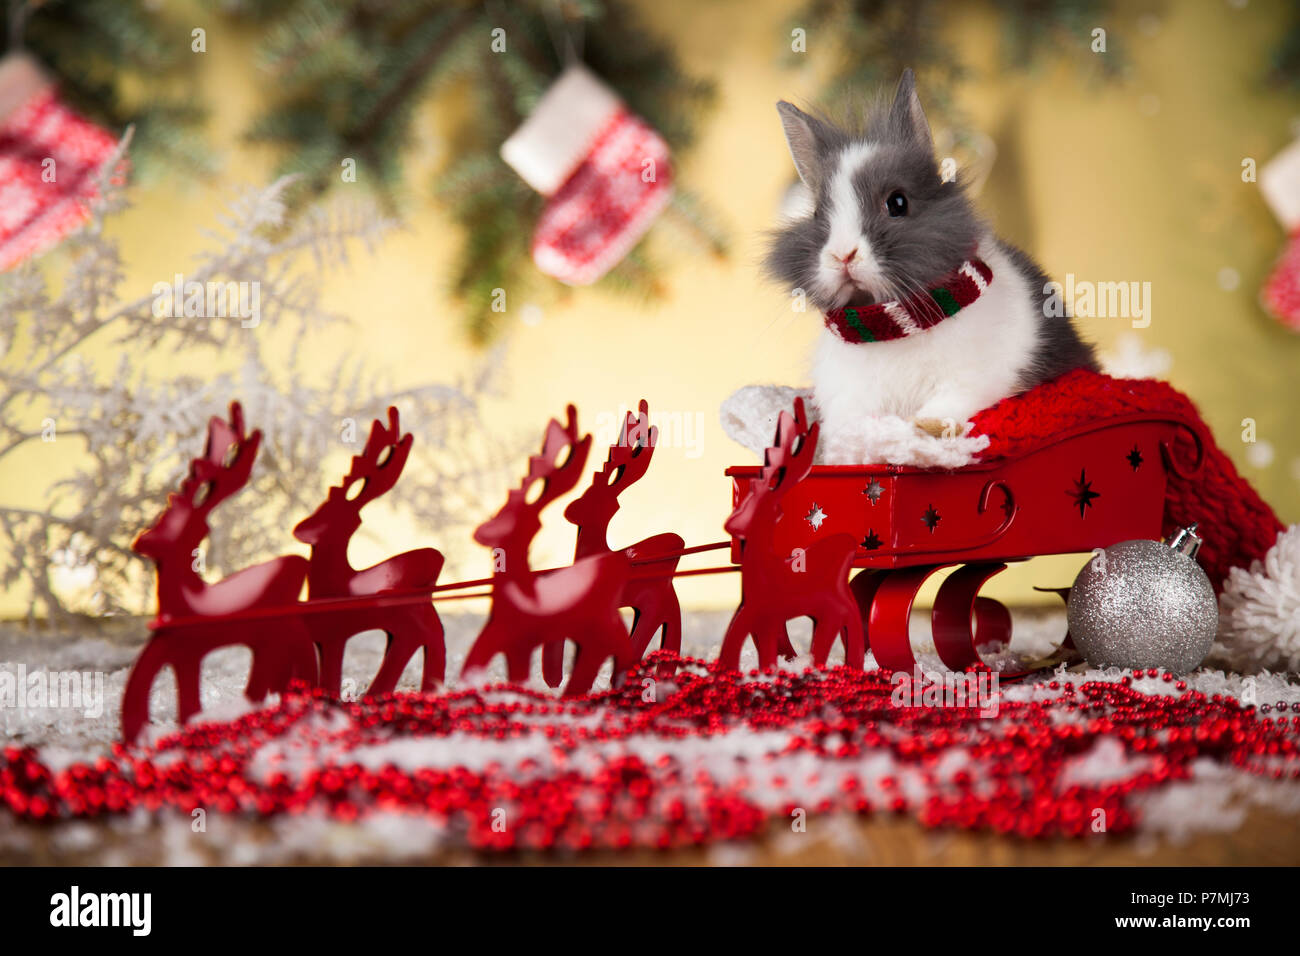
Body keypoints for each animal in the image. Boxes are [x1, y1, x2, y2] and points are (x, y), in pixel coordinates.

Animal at [764, 69, 1097, 447]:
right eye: (818, 213)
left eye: (897, 203)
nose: (842, 255)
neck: (890, 326)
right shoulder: (848, 396)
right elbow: (851, 423)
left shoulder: (978, 375)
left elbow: (948, 404)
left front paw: (922, 428)